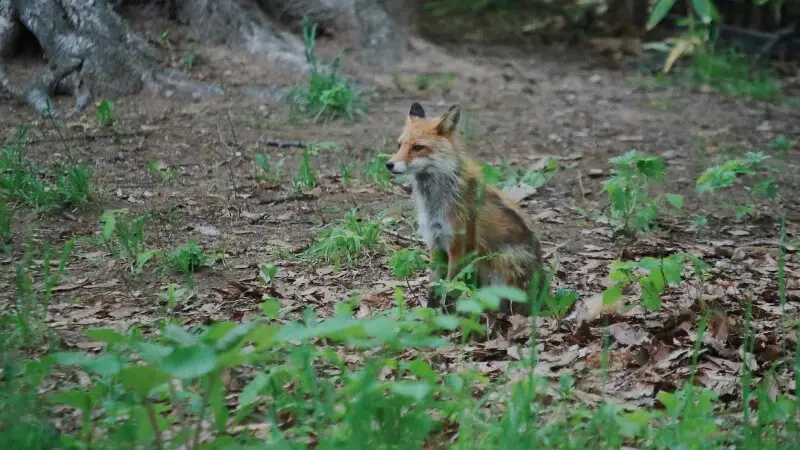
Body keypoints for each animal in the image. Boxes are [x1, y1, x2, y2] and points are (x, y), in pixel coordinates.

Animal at [385, 102, 546, 316]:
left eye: (417, 147)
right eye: (399, 145)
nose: (389, 164)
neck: (434, 203)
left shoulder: (459, 247)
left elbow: (450, 292)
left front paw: (445, 320)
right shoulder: (435, 243)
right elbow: (434, 289)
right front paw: (430, 316)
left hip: (501, 263)